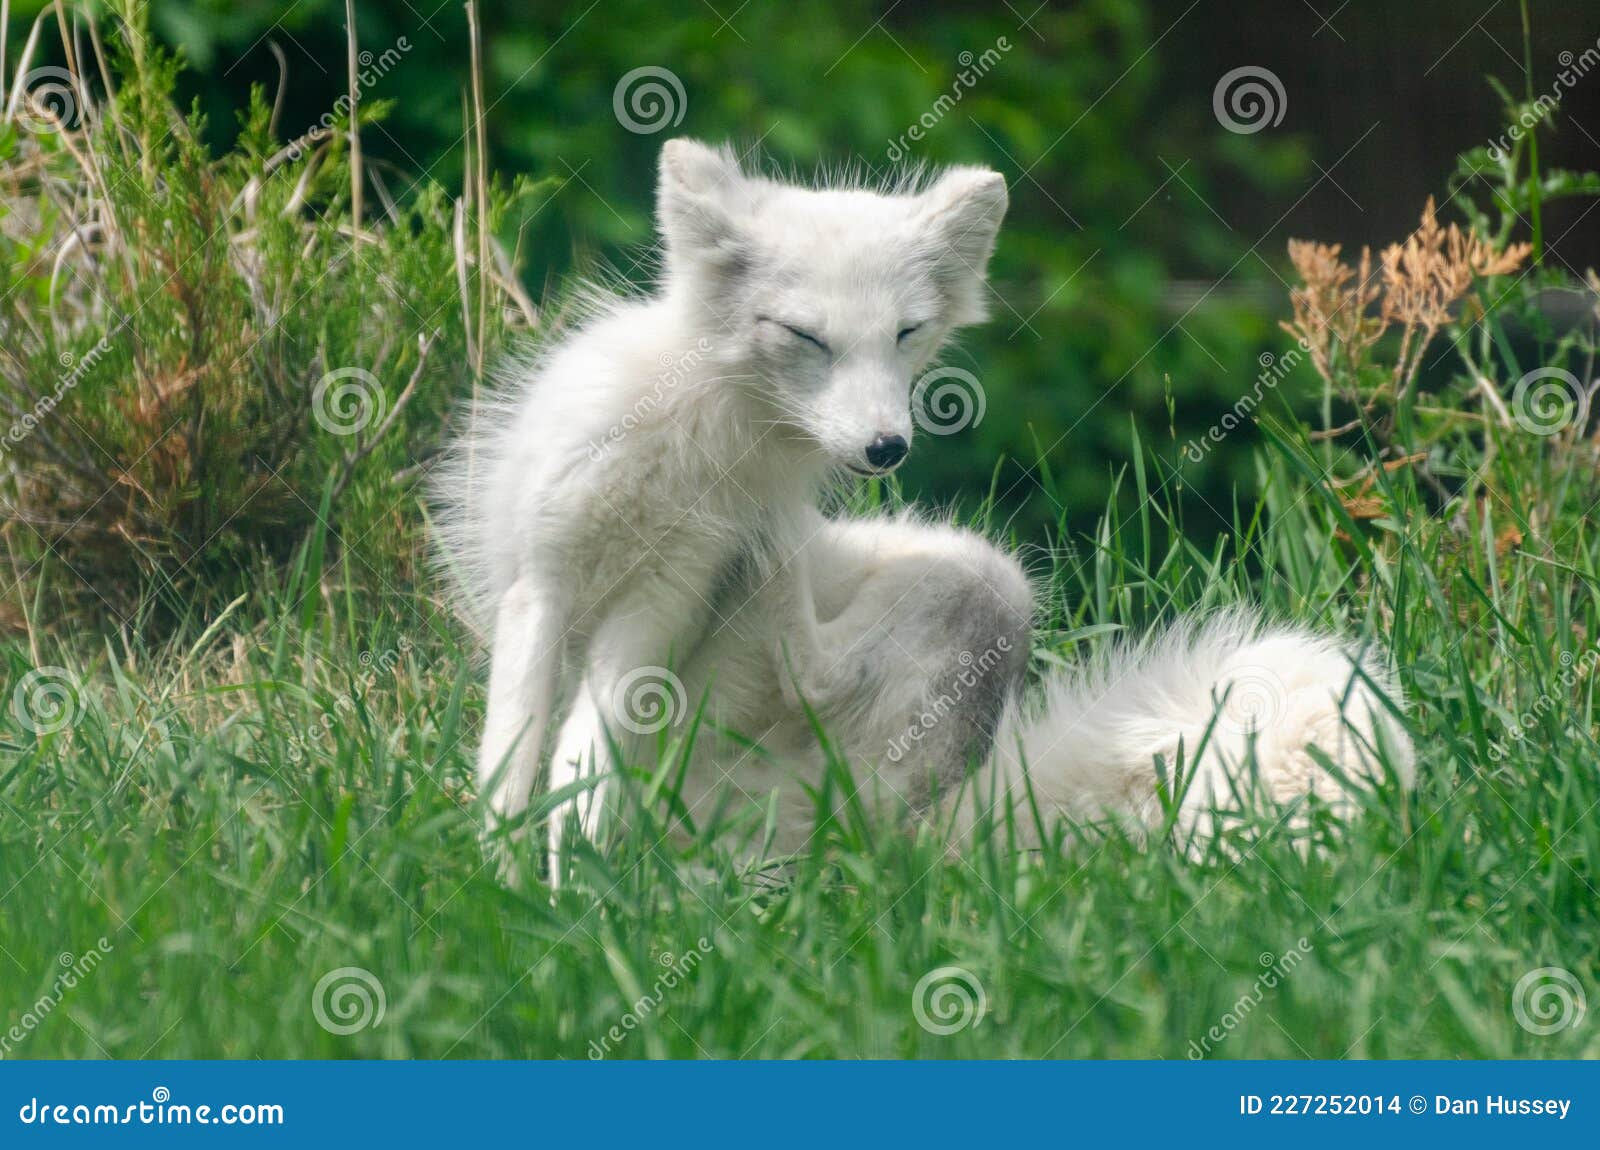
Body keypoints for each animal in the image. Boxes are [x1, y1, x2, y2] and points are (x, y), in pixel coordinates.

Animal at [431, 137, 1414, 879]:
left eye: (905, 334)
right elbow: (514, 764)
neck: (696, 431)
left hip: (987, 580)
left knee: (815, 674)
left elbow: (581, 770)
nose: (884, 450)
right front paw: (507, 884)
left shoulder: (656, 603)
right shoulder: (541, 588)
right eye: (804, 336)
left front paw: (564, 892)